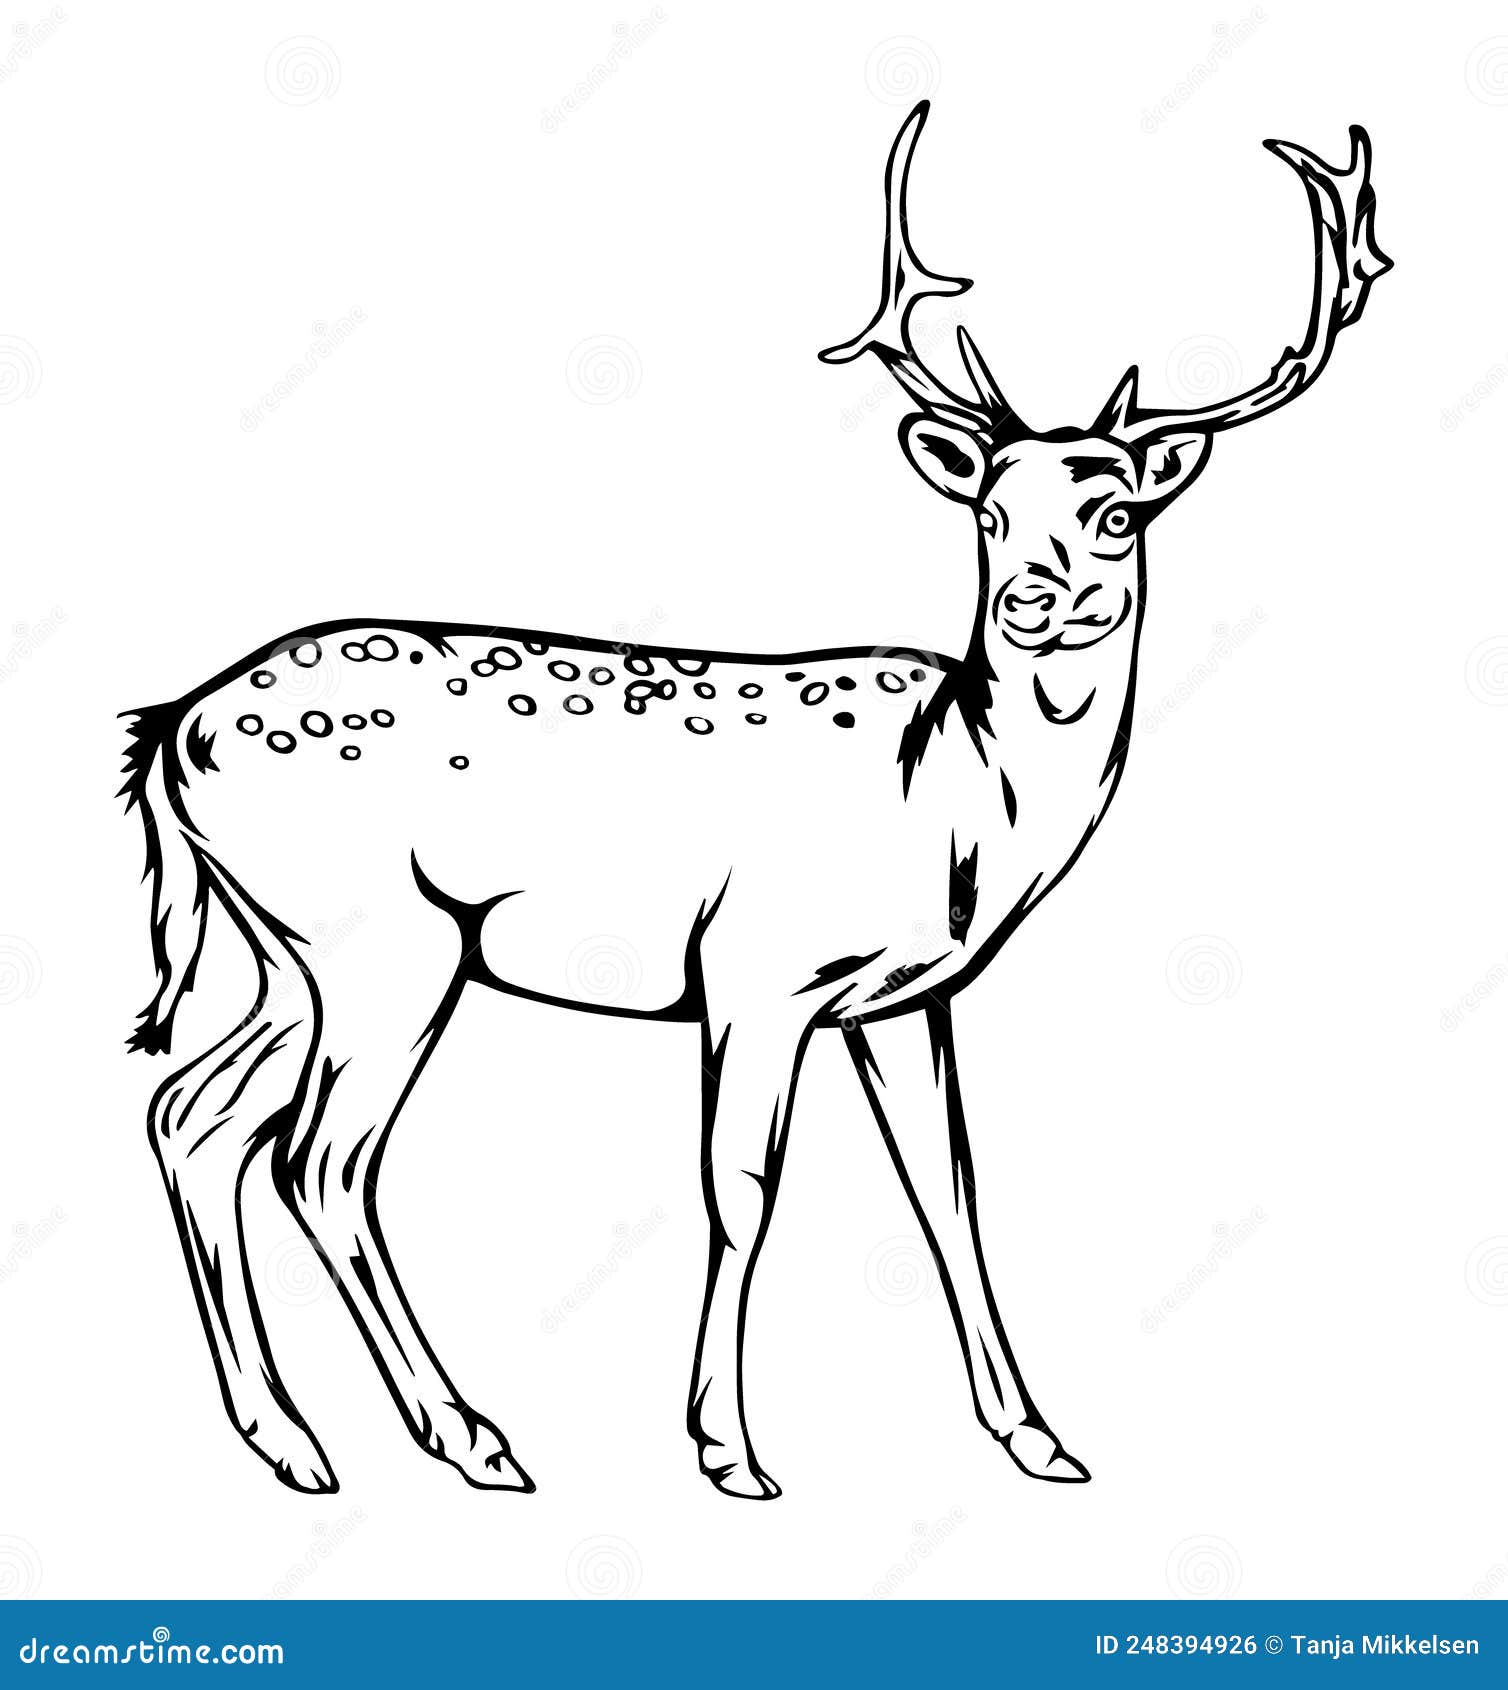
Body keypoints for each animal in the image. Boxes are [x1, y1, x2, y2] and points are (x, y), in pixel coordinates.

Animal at [121, 103, 1389, 1501]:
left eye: (1113, 512)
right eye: (990, 514)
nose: (1032, 601)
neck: (956, 806)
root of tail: (171, 730)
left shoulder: (903, 999)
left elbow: (948, 1191)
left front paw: (1036, 1437)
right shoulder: (755, 969)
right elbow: (743, 1186)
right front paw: (726, 1447)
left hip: (287, 951)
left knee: (195, 1117)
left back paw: (291, 1439)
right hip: (383, 944)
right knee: (316, 1159)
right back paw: (467, 1434)